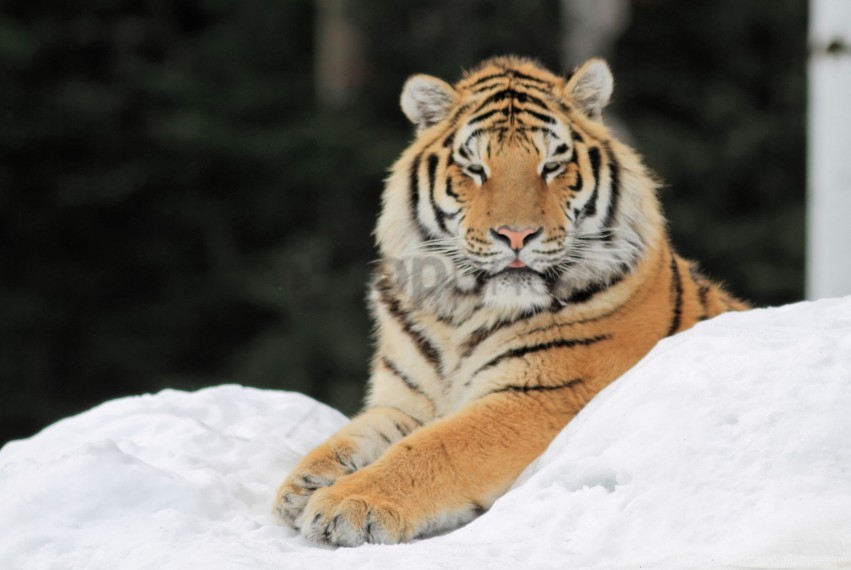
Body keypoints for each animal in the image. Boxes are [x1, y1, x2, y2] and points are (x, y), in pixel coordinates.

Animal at [273, 55, 748, 546]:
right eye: (475, 168)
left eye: (552, 165)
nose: (516, 235)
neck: (457, 312)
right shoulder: (407, 399)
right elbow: (359, 432)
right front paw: (303, 483)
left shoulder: (537, 396)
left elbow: (434, 446)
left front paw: (348, 504)